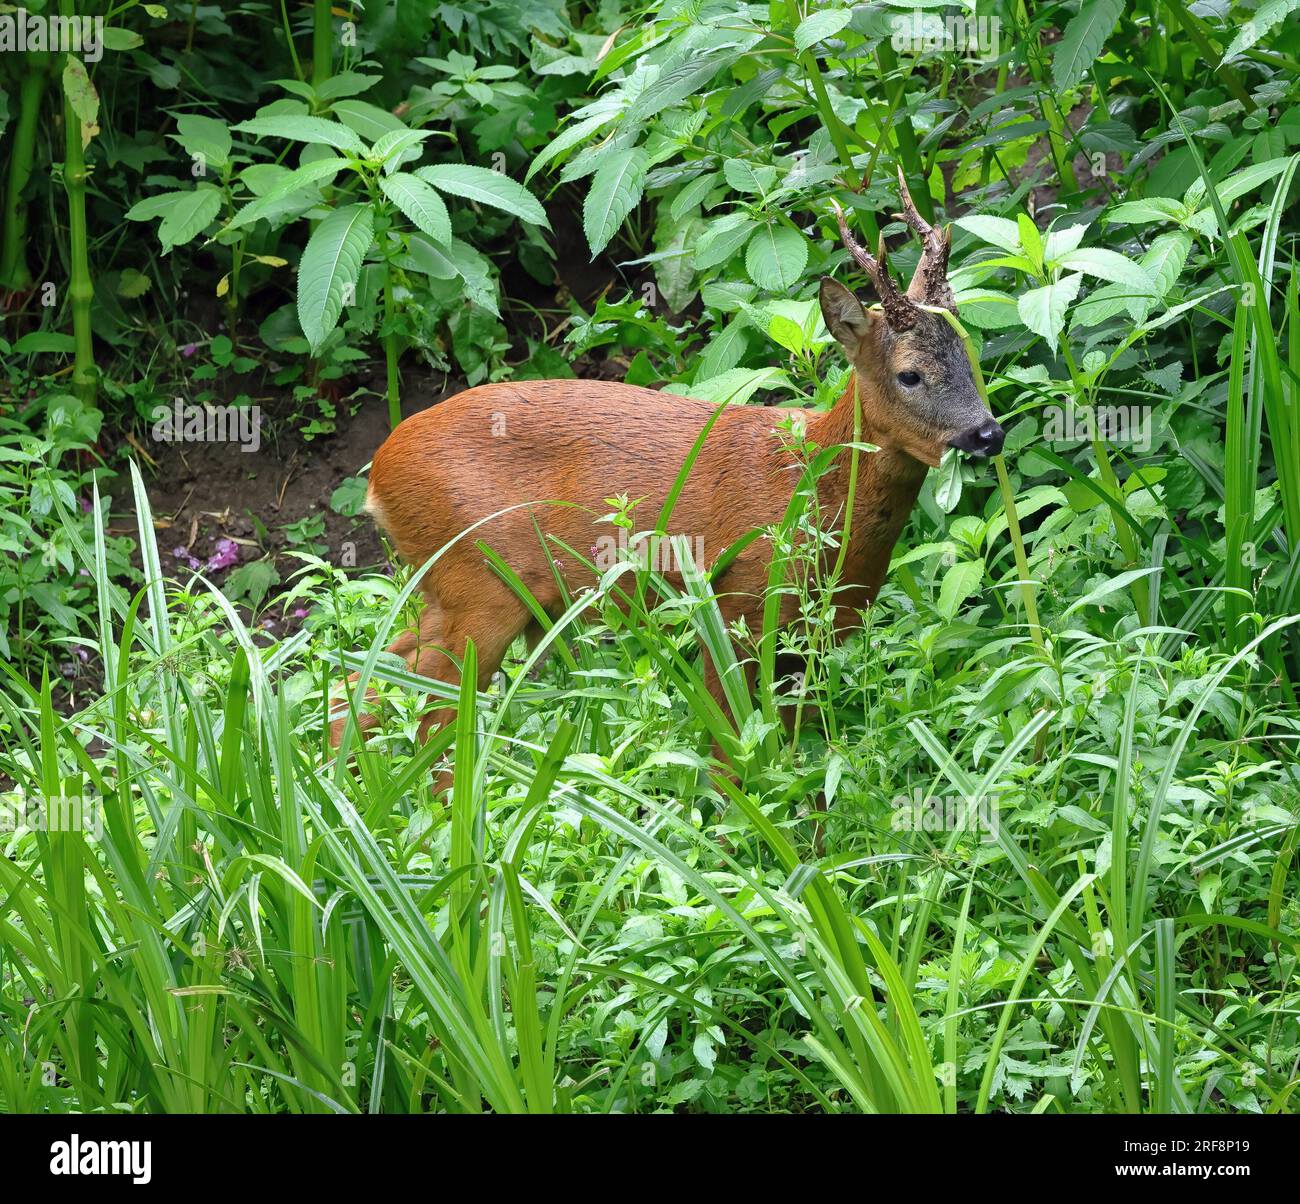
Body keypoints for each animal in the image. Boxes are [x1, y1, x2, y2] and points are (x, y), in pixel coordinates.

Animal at [329, 171, 1004, 775]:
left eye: (968, 352)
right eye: (909, 374)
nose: (988, 434)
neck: (808, 491)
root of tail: (379, 472)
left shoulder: (820, 631)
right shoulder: (732, 603)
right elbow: (733, 752)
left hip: (454, 588)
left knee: (368, 680)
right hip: (476, 580)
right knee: (431, 722)